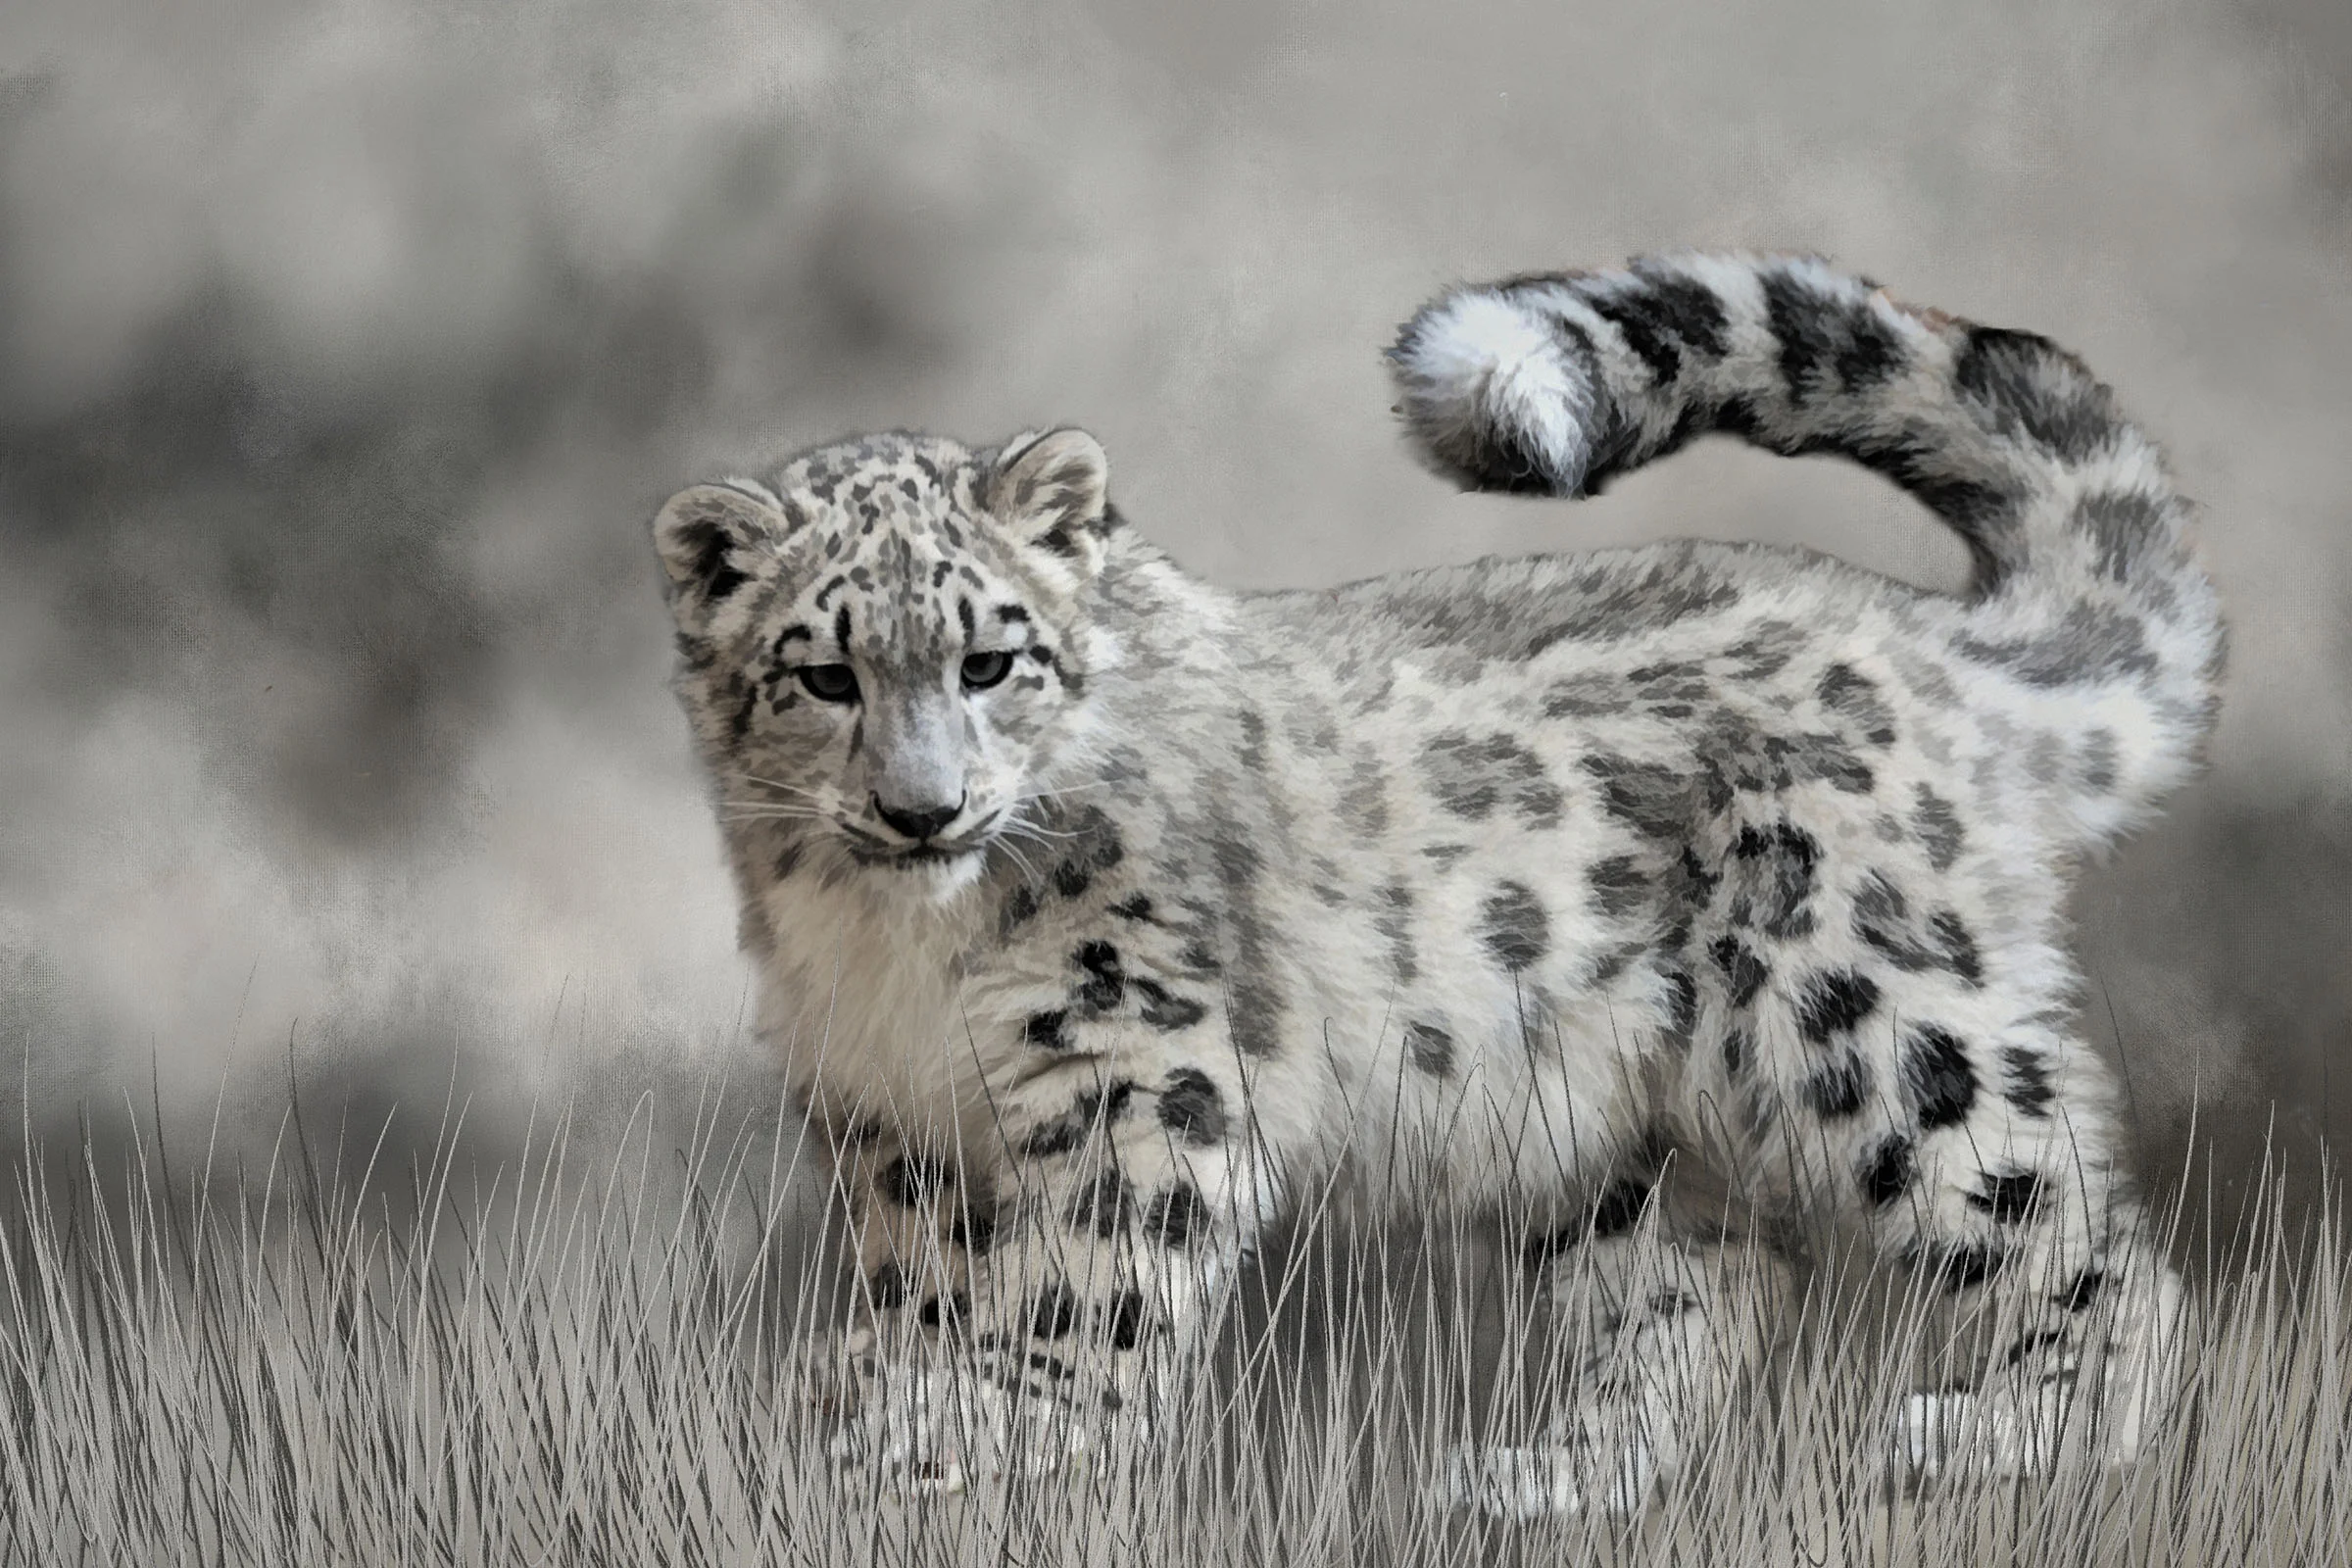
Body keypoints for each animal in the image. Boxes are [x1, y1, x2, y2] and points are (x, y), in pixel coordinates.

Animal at [651, 252, 2221, 1512]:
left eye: (991, 660)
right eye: (825, 676)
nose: (923, 809)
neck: (890, 940)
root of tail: (1923, 636)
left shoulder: (1137, 1061)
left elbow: (1092, 1281)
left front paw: (981, 1435)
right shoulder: (887, 1112)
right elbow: (925, 1272)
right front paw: (872, 1400)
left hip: (1877, 1009)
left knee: (2075, 1229)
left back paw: (2007, 1436)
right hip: (1601, 1134)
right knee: (1706, 1289)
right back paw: (1542, 1483)